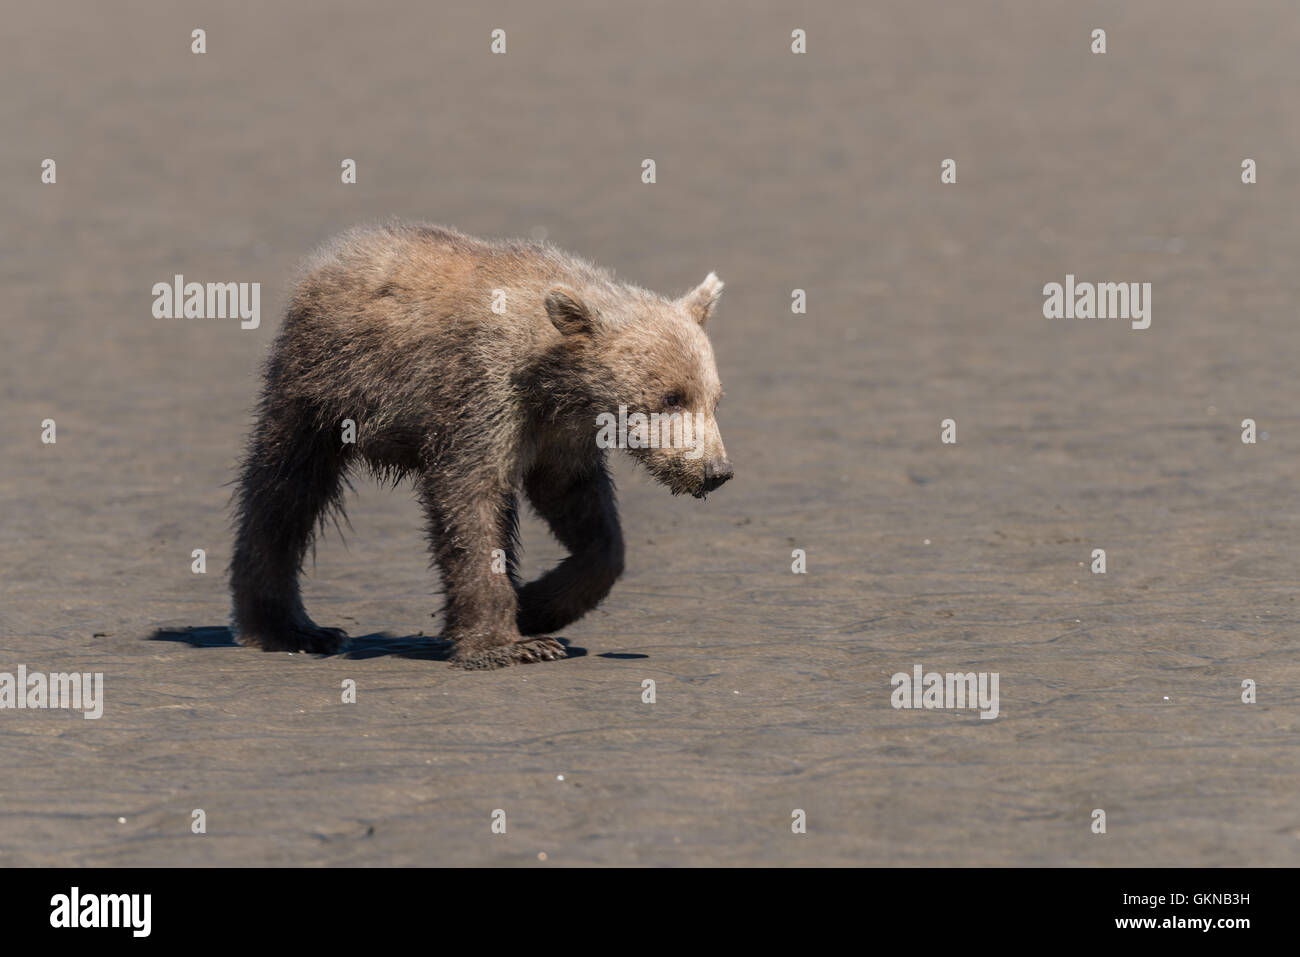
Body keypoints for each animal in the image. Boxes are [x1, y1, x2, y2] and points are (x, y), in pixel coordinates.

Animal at [229, 222, 732, 669]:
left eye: (714, 398)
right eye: (671, 396)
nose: (716, 471)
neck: (556, 385)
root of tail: (339, 252)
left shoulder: (562, 435)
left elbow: (580, 509)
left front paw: (537, 605)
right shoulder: (482, 392)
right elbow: (471, 500)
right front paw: (505, 644)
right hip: (325, 383)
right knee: (286, 490)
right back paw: (289, 627)